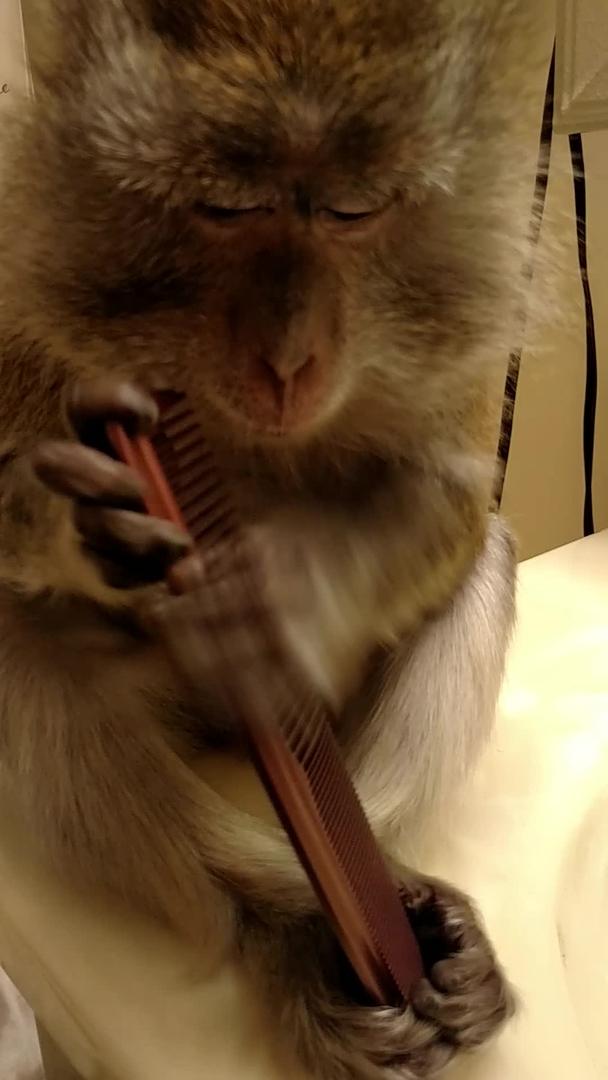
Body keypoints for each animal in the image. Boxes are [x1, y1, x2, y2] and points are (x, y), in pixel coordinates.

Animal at [0, 1, 547, 1075]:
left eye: (352, 212)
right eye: (225, 208)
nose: (289, 360)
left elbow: (454, 498)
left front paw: (293, 587)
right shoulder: (23, 269)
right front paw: (100, 529)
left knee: (484, 565)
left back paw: (390, 900)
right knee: (30, 652)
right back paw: (294, 921)